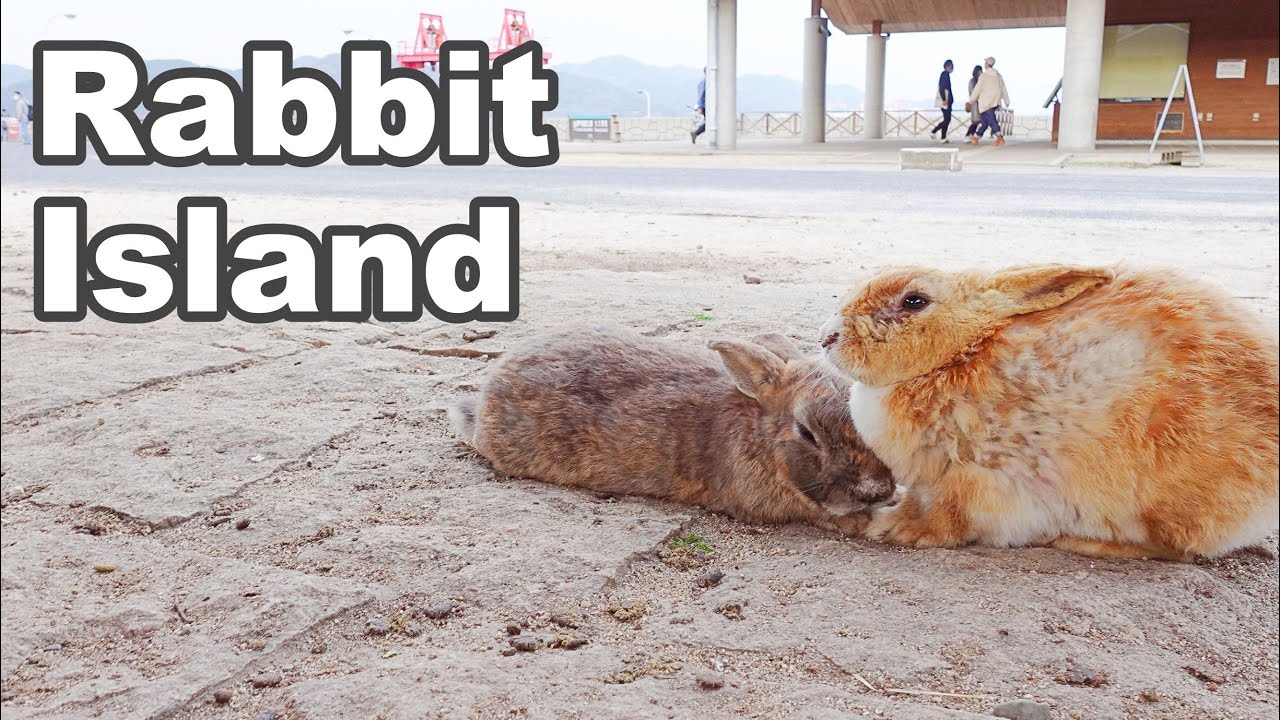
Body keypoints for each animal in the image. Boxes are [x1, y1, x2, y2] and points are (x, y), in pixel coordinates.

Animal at [819, 264, 1279, 561]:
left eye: (914, 301)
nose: (827, 337)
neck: (956, 355)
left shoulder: (977, 478)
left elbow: (950, 520)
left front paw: (896, 530)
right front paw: (891, 516)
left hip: (1155, 498)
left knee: (1176, 550)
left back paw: (1078, 543)